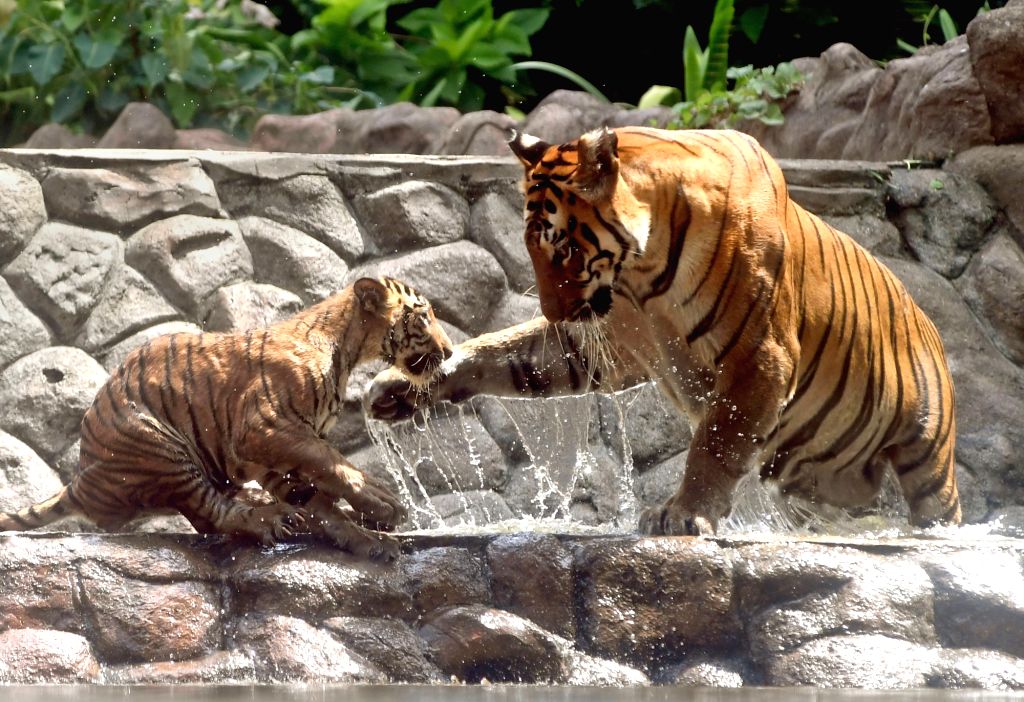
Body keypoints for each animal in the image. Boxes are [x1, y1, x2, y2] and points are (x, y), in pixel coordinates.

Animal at [0, 277, 453, 561]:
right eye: (424, 317)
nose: (449, 352)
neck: (348, 350)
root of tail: (81, 477)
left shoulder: (276, 451)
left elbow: (320, 498)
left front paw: (367, 539)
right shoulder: (265, 428)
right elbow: (332, 462)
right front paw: (381, 501)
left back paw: (269, 507)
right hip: (159, 444)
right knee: (206, 513)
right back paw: (266, 518)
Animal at [366, 126, 961, 535]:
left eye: (563, 246)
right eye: (531, 245)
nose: (555, 311)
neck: (641, 275)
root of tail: (929, 322)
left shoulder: (759, 356)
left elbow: (717, 442)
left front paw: (684, 515)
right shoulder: (600, 341)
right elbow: (502, 354)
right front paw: (400, 385)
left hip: (927, 451)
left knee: (937, 505)